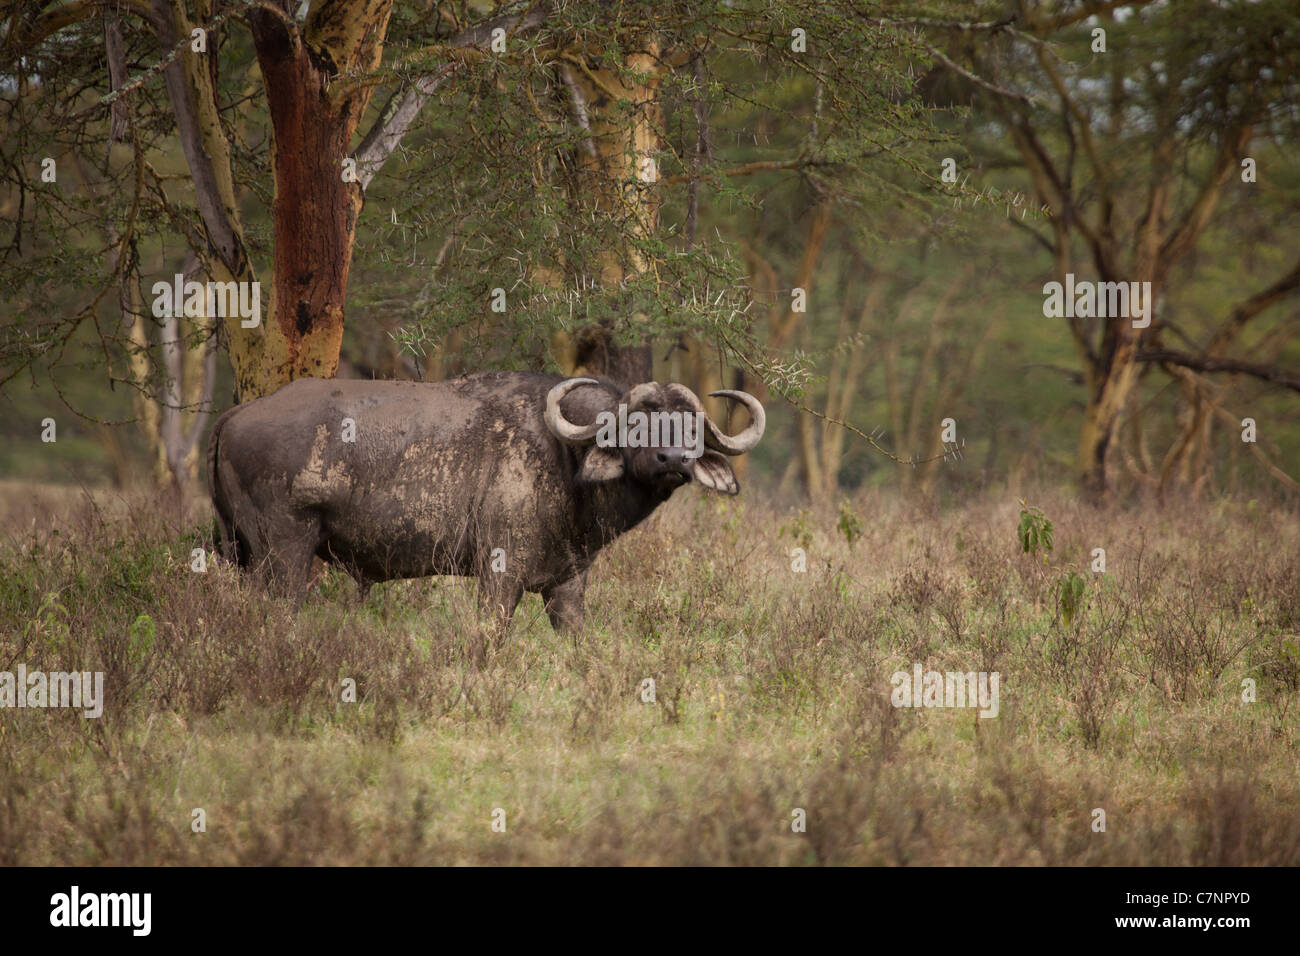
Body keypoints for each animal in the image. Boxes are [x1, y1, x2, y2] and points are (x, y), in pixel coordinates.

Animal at [207, 372, 764, 632]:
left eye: (687, 426)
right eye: (639, 424)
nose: (675, 459)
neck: (564, 457)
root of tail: (235, 414)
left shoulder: (567, 585)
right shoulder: (499, 573)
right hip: (284, 555)